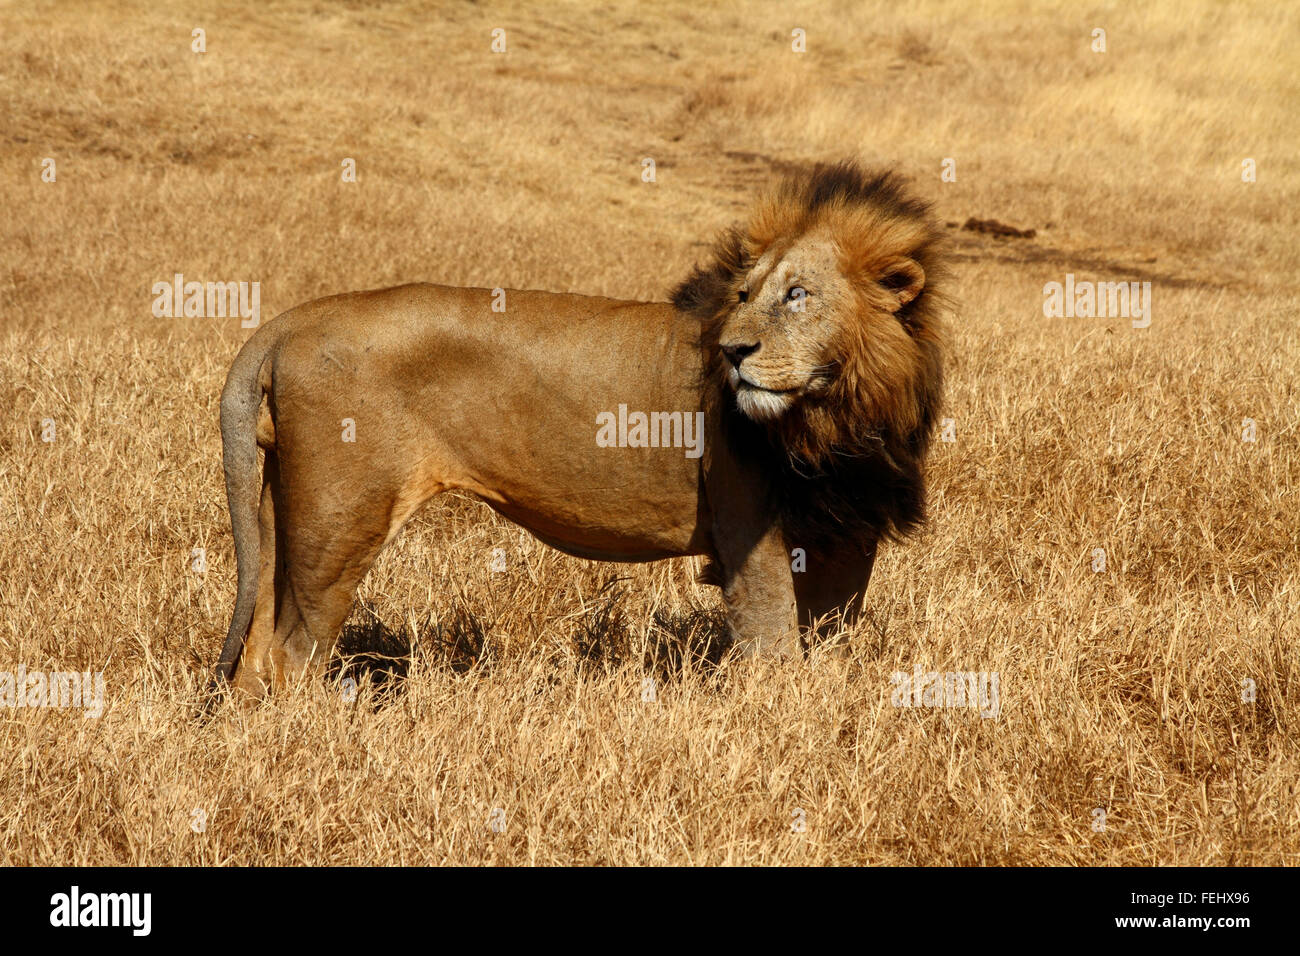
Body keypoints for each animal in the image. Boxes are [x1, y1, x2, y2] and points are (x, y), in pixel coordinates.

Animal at [211, 161, 947, 700]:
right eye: (744, 295)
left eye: (797, 295)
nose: (733, 350)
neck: (841, 416)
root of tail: (287, 323)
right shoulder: (750, 531)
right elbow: (774, 646)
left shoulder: (847, 537)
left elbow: (828, 639)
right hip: (340, 521)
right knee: (292, 652)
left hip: (283, 512)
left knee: (257, 650)